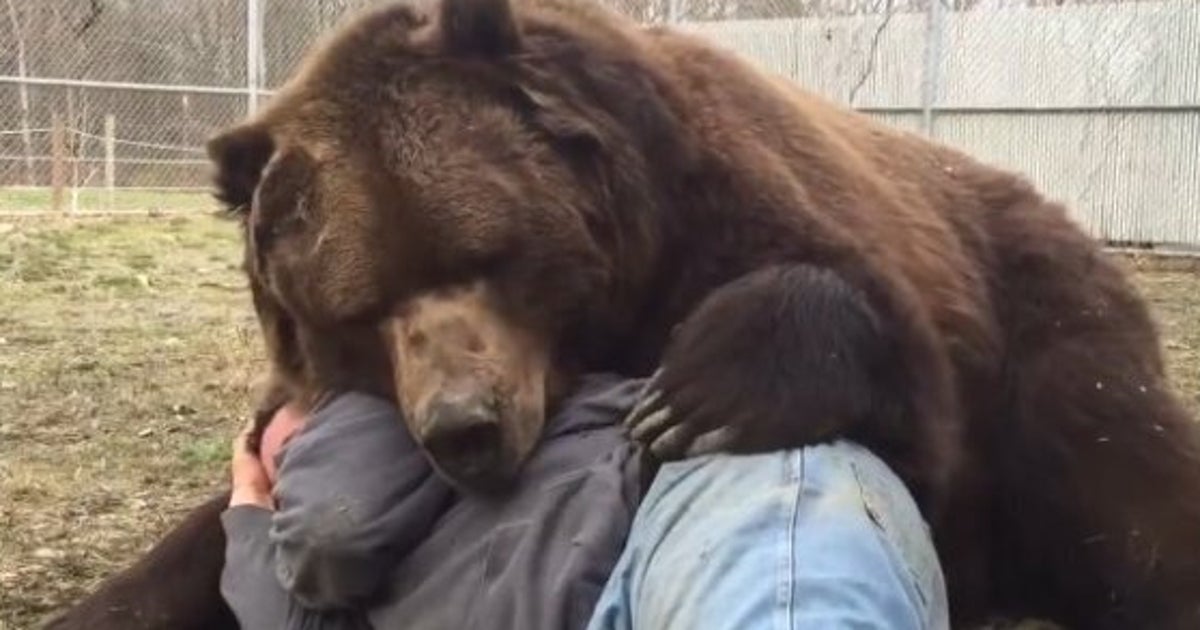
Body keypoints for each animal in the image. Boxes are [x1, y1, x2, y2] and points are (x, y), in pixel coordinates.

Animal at [46, 0, 1200, 629]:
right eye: (361, 307)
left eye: (488, 255)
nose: (464, 426)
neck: (608, 311)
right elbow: (208, 540)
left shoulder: (736, 212)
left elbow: (891, 377)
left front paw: (703, 390)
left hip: (1054, 337)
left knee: (1129, 494)